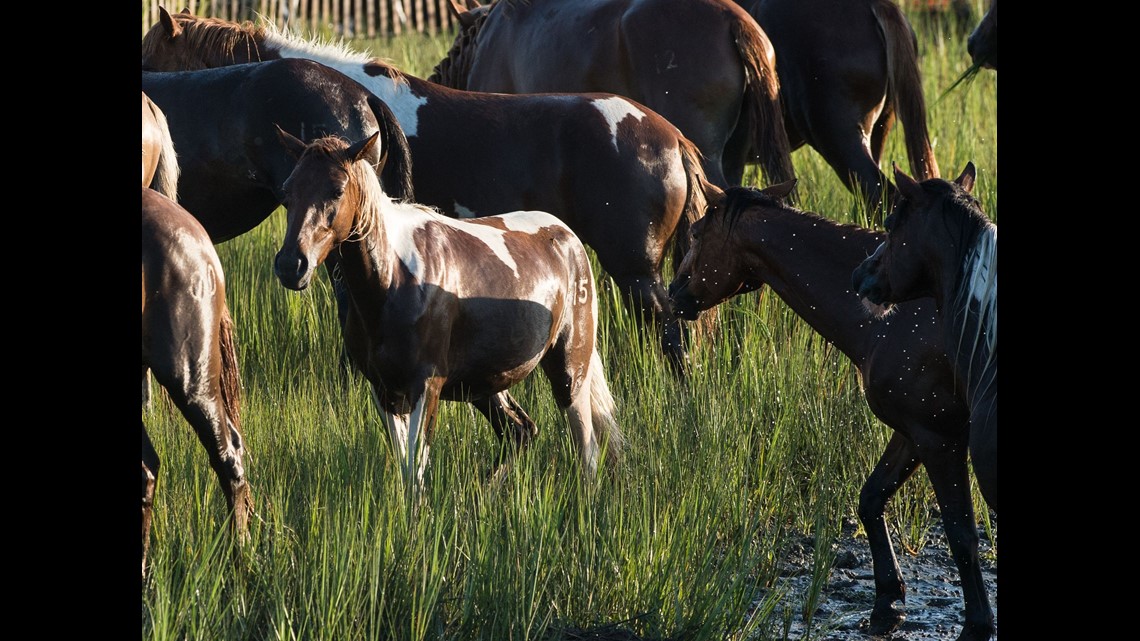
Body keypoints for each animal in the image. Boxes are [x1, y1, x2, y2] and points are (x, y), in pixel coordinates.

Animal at [273, 128, 625, 493]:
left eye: (337, 190)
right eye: (287, 191)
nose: (291, 265)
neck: (393, 283)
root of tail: (567, 237)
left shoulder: (426, 386)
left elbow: (415, 473)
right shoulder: (385, 391)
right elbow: (406, 471)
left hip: (570, 370)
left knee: (587, 451)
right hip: (486, 383)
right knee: (520, 431)